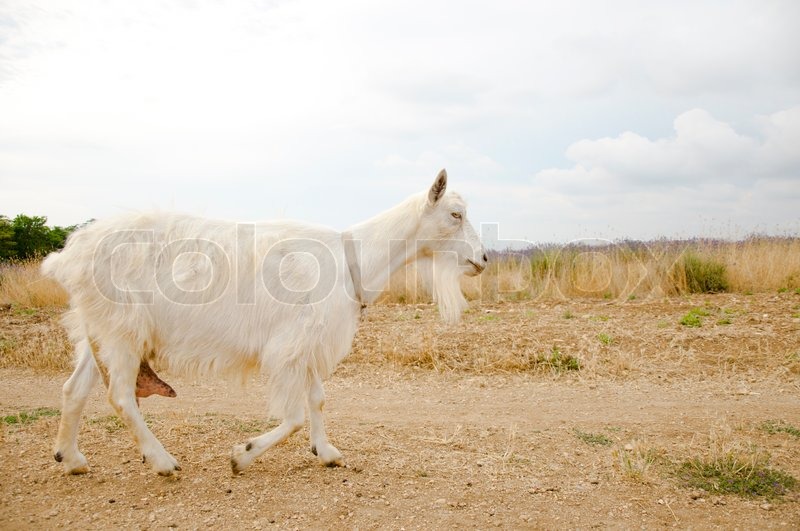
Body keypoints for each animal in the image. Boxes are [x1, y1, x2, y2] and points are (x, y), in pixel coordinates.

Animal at [43, 169, 487, 476]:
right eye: (455, 214)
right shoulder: (287, 346)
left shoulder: (307, 343)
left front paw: (326, 452)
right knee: (120, 395)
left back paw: (72, 458)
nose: (482, 259)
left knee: (74, 389)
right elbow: (292, 416)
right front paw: (242, 455)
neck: (352, 258)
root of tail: (69, 256)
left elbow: (317, 399)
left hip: (100, 330)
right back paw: (163, 461)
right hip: (122, 332)